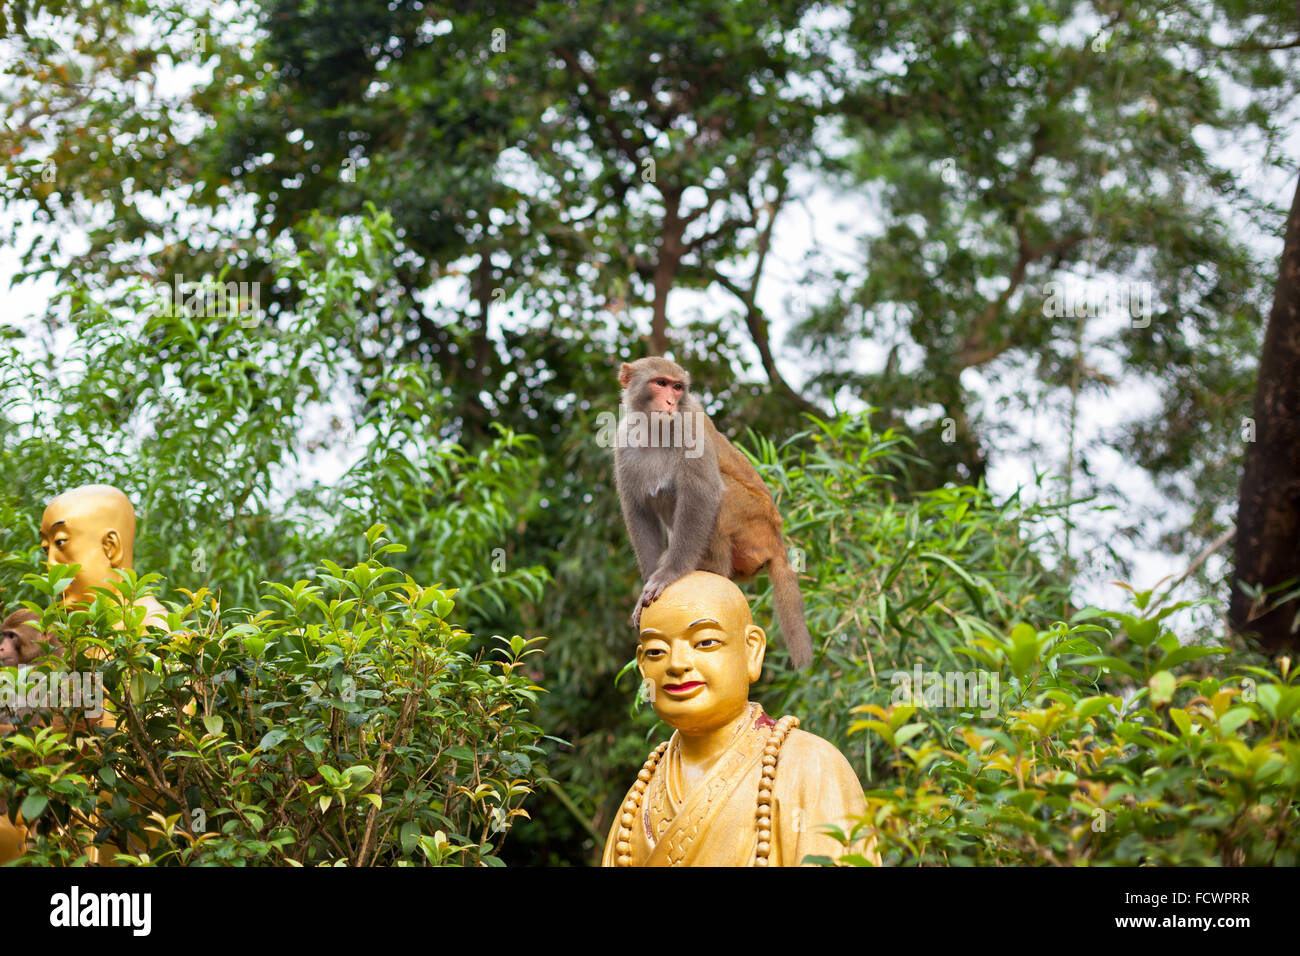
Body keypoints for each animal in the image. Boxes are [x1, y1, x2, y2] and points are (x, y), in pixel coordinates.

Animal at [613, 357, 814, 669]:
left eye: (677, 387)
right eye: (660, 383)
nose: (670, 402)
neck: (654, 429)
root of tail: (777, 536)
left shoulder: (689, 425)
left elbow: (702, 493)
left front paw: (668, 574)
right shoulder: (623, 444)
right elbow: (639, 513)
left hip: (755, 521)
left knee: (720, 494)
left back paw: (713, 569)